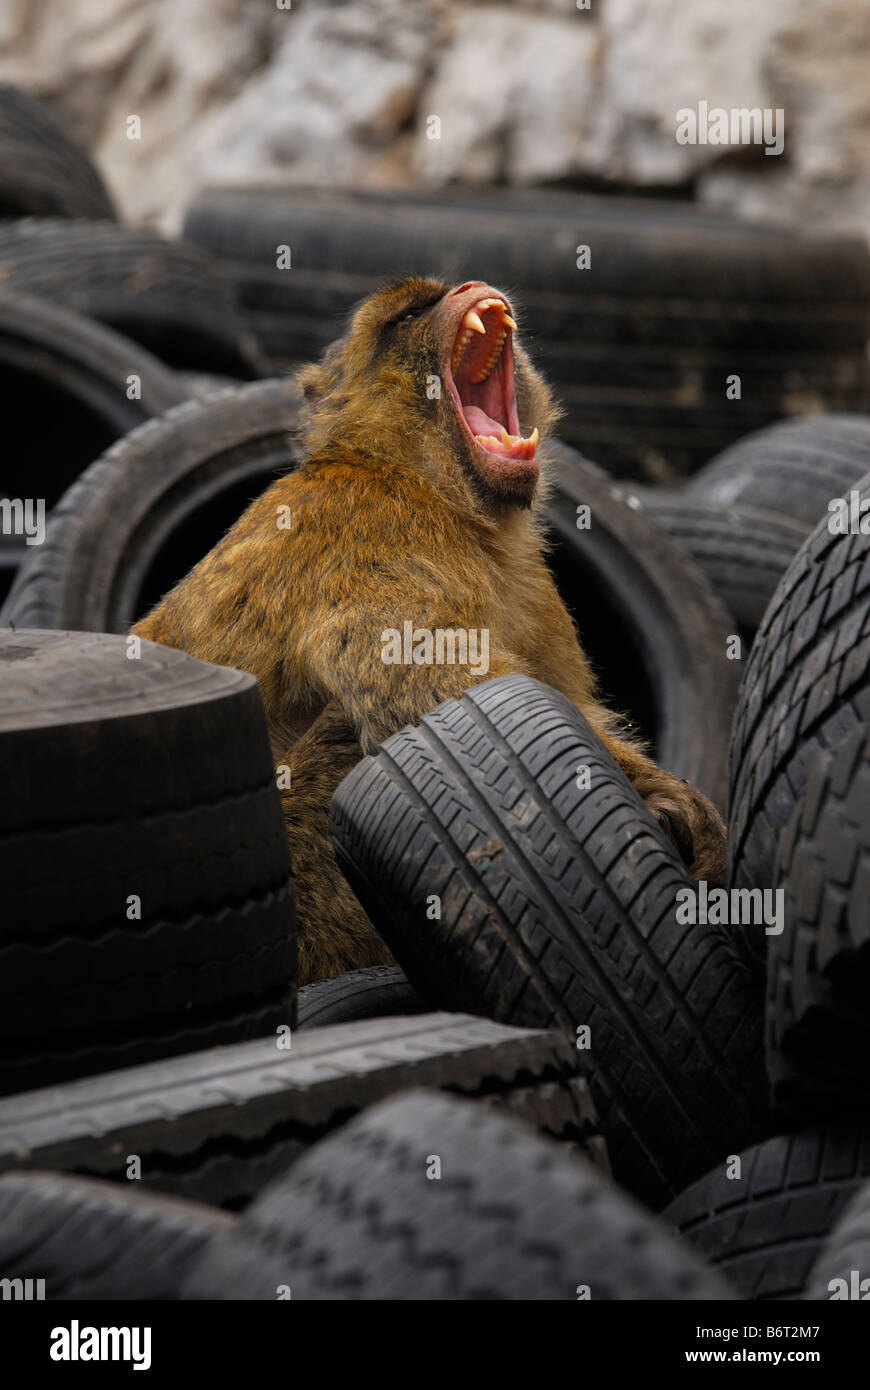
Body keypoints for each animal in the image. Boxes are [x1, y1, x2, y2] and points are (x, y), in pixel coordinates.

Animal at [132, 276, 727, 984]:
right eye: (413, 312)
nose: (468, 288)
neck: (432, 487)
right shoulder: (373, 529)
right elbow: (426, 690)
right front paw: (659, 797)